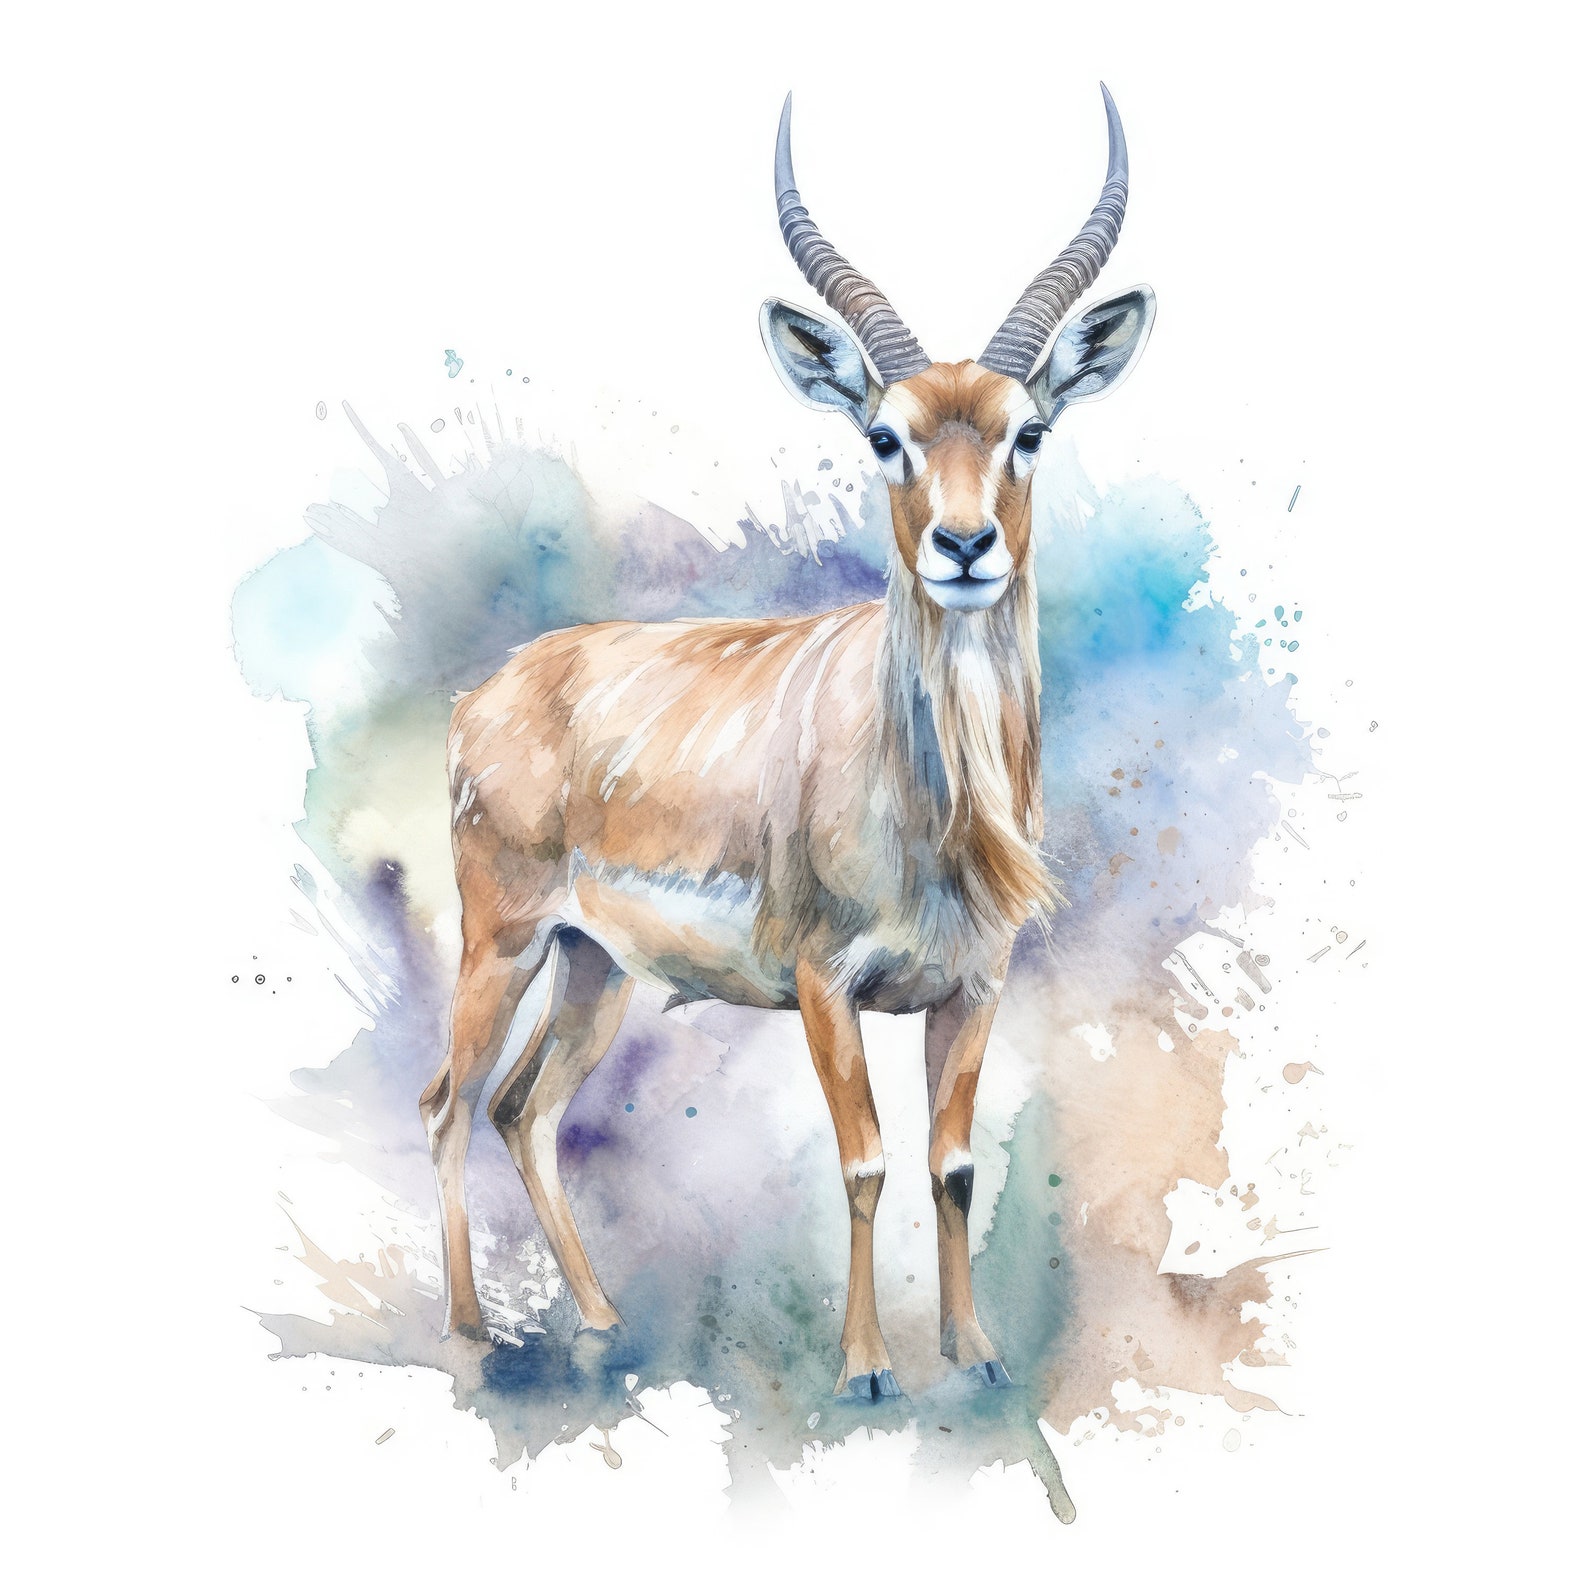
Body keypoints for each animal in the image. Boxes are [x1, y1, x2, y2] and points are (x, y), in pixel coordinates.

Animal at [421, 85, 1155, 1400]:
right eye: (883, 435)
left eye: (1026, 430)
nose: (963, 546)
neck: (939, 817)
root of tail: (488, 689)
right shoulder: (825, 980)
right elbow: (863, 1159)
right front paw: (864, 1368)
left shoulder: (975, 985)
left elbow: (952, 1163)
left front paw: (976, 1354)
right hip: (501, 941)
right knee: (453, 1104)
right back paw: (466, 1332)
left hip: (594, 966)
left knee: (522, 1109)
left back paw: (600, 1318)